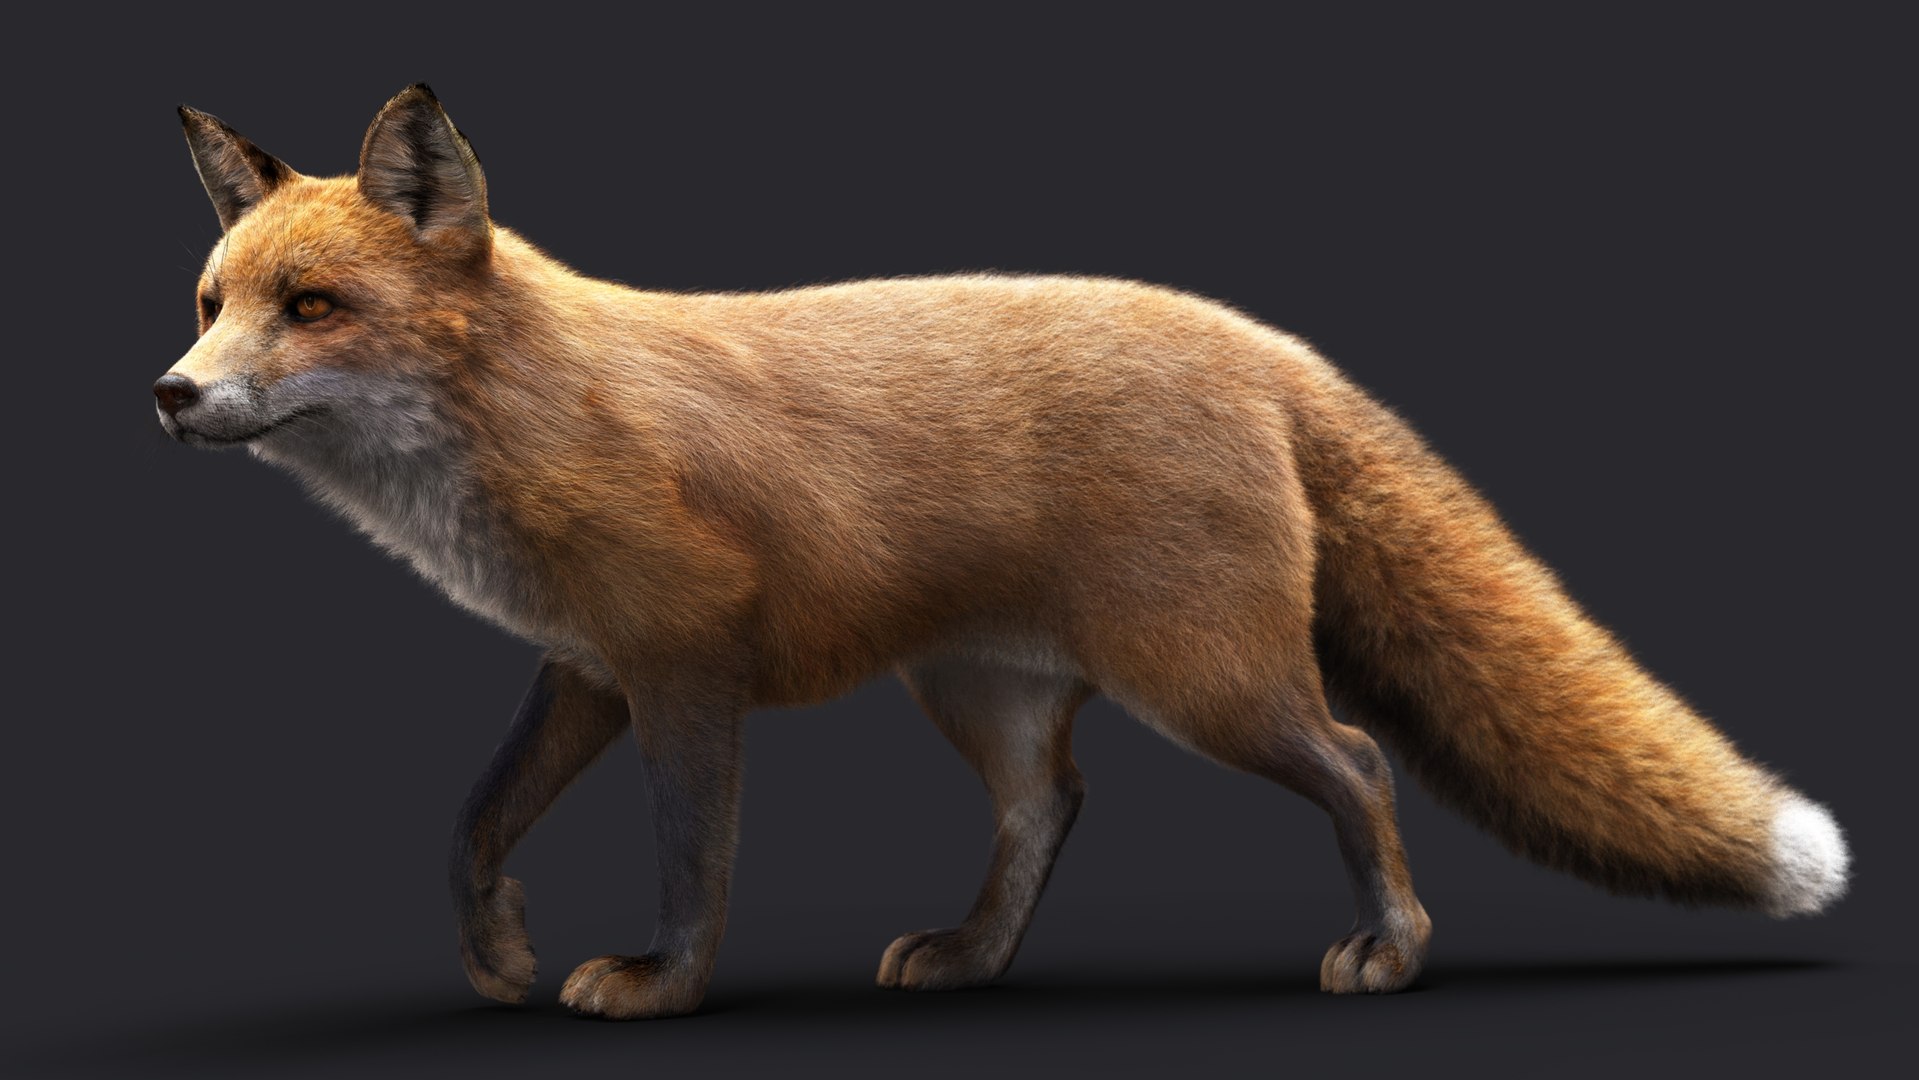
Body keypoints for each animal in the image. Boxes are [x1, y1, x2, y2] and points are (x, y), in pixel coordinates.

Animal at [157, 84, 1849, 1019]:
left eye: (312, 308)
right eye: (210, 302)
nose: (171, 397)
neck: (531, 416)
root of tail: (1262, 343)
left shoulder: (687, 669)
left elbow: (693, 863)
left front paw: (661, 990)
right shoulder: (585, 667)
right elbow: (468, 827)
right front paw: (497, 958)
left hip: (1206, 681)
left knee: (1358, 761)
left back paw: (1388, 948)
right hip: (984, 692)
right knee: (1052, 806)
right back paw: (971, 957)